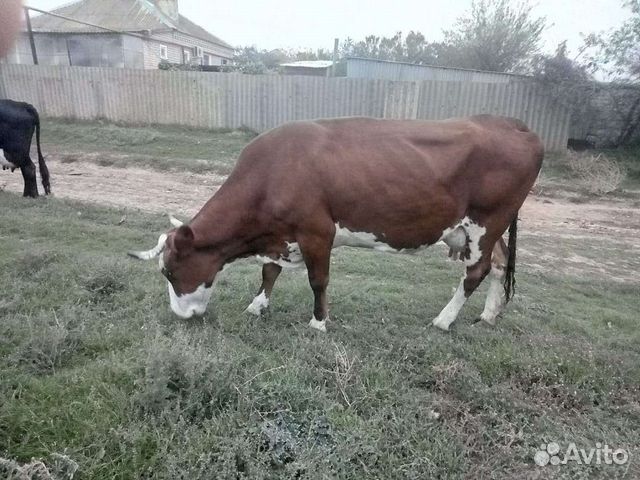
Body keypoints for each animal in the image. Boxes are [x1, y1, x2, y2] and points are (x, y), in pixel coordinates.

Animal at [129, 115, 543, 332]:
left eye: (169, 273)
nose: (180, 315)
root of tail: (510, 123)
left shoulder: (317, 231)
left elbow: (318, 280)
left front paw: (318, 323)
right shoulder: (282, 235)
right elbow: (269, 271)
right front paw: (256, 306)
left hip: (486, 221)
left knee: (476, 271)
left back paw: (443, 319)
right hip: (488, 227)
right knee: (499, 264)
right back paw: (489, 314)